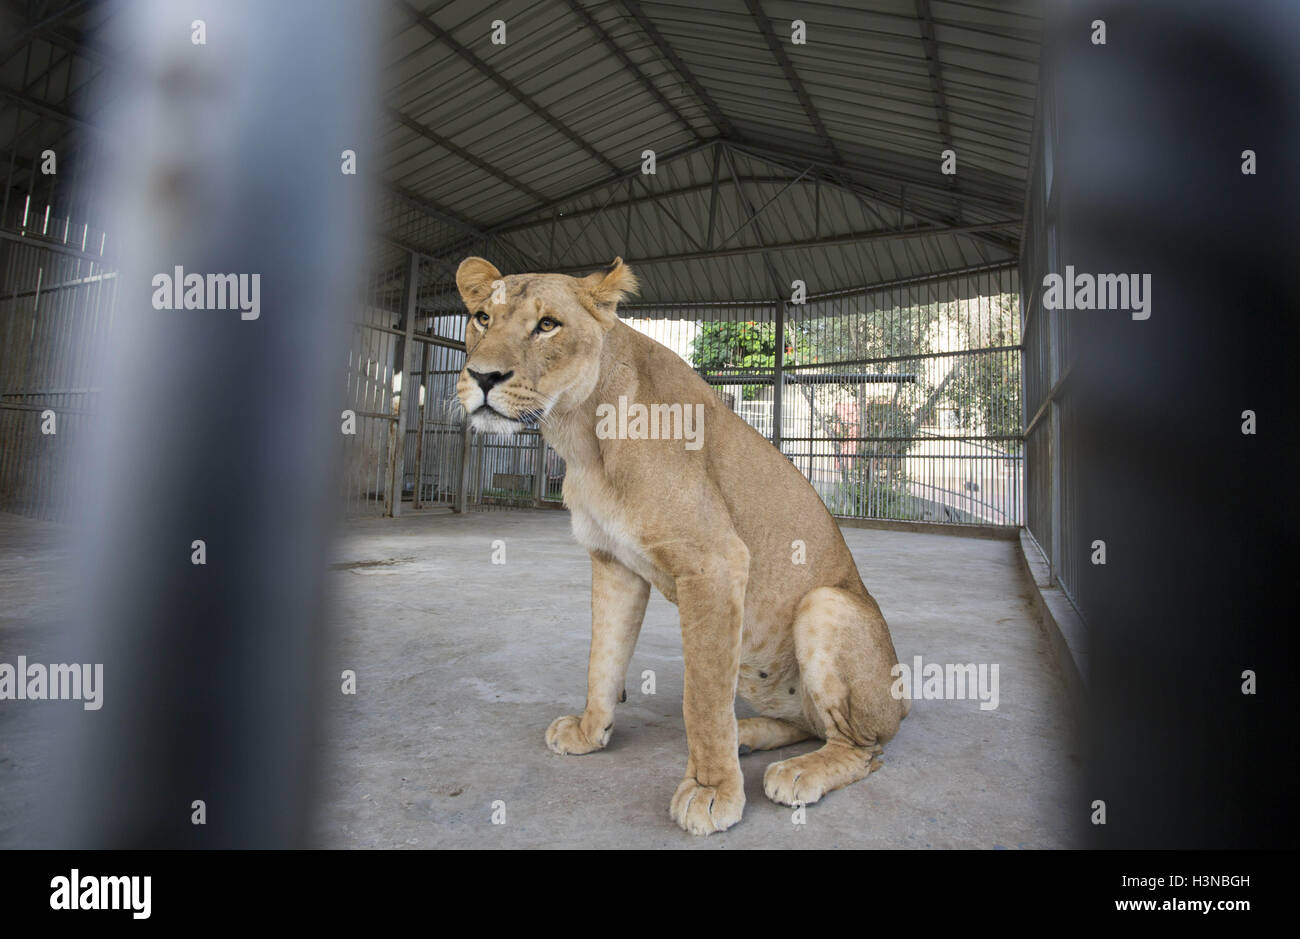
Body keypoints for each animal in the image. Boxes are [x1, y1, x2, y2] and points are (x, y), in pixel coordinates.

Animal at [454, 256, 909, 835]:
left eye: (548, 325)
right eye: (482, 318)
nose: (483, 377)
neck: (581, 435)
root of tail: (905, 704)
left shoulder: (715, 563)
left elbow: (702, 698)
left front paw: (712, 792)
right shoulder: (612, 562)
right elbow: (602, 658)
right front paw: (590, 732)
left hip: (825, 604)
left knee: (863, 747)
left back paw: (796, 771)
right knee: (809, 724)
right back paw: (750, 735)